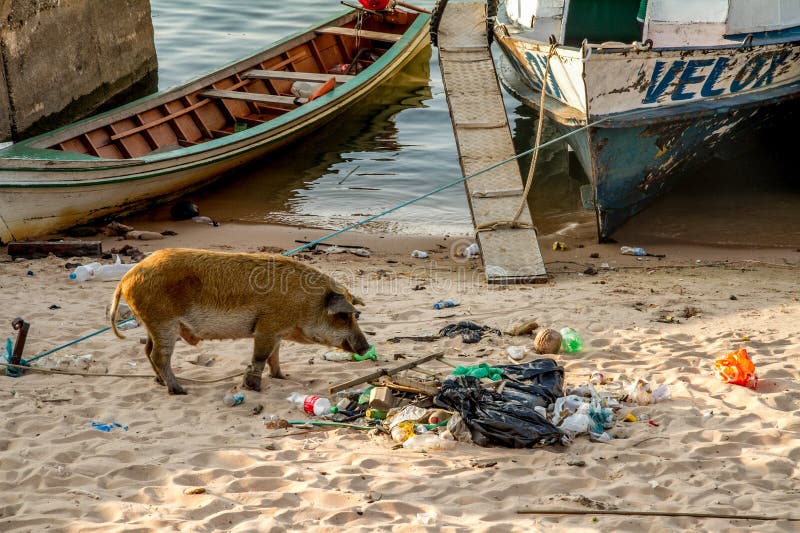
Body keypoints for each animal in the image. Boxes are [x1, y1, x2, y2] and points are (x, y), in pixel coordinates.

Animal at [109, 248, 369, 395]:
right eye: (344, 316)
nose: (366, 347)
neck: (305, 304)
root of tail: (126, 278)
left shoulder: (277, 331)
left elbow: (275, 356)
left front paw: (282, 377)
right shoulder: (267, 327)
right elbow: (261, 357)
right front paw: (254, 388)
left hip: (152, 323)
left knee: (147, 349)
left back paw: (160, 382)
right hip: (163, 322)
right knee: (159, 355)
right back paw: (179, 390)